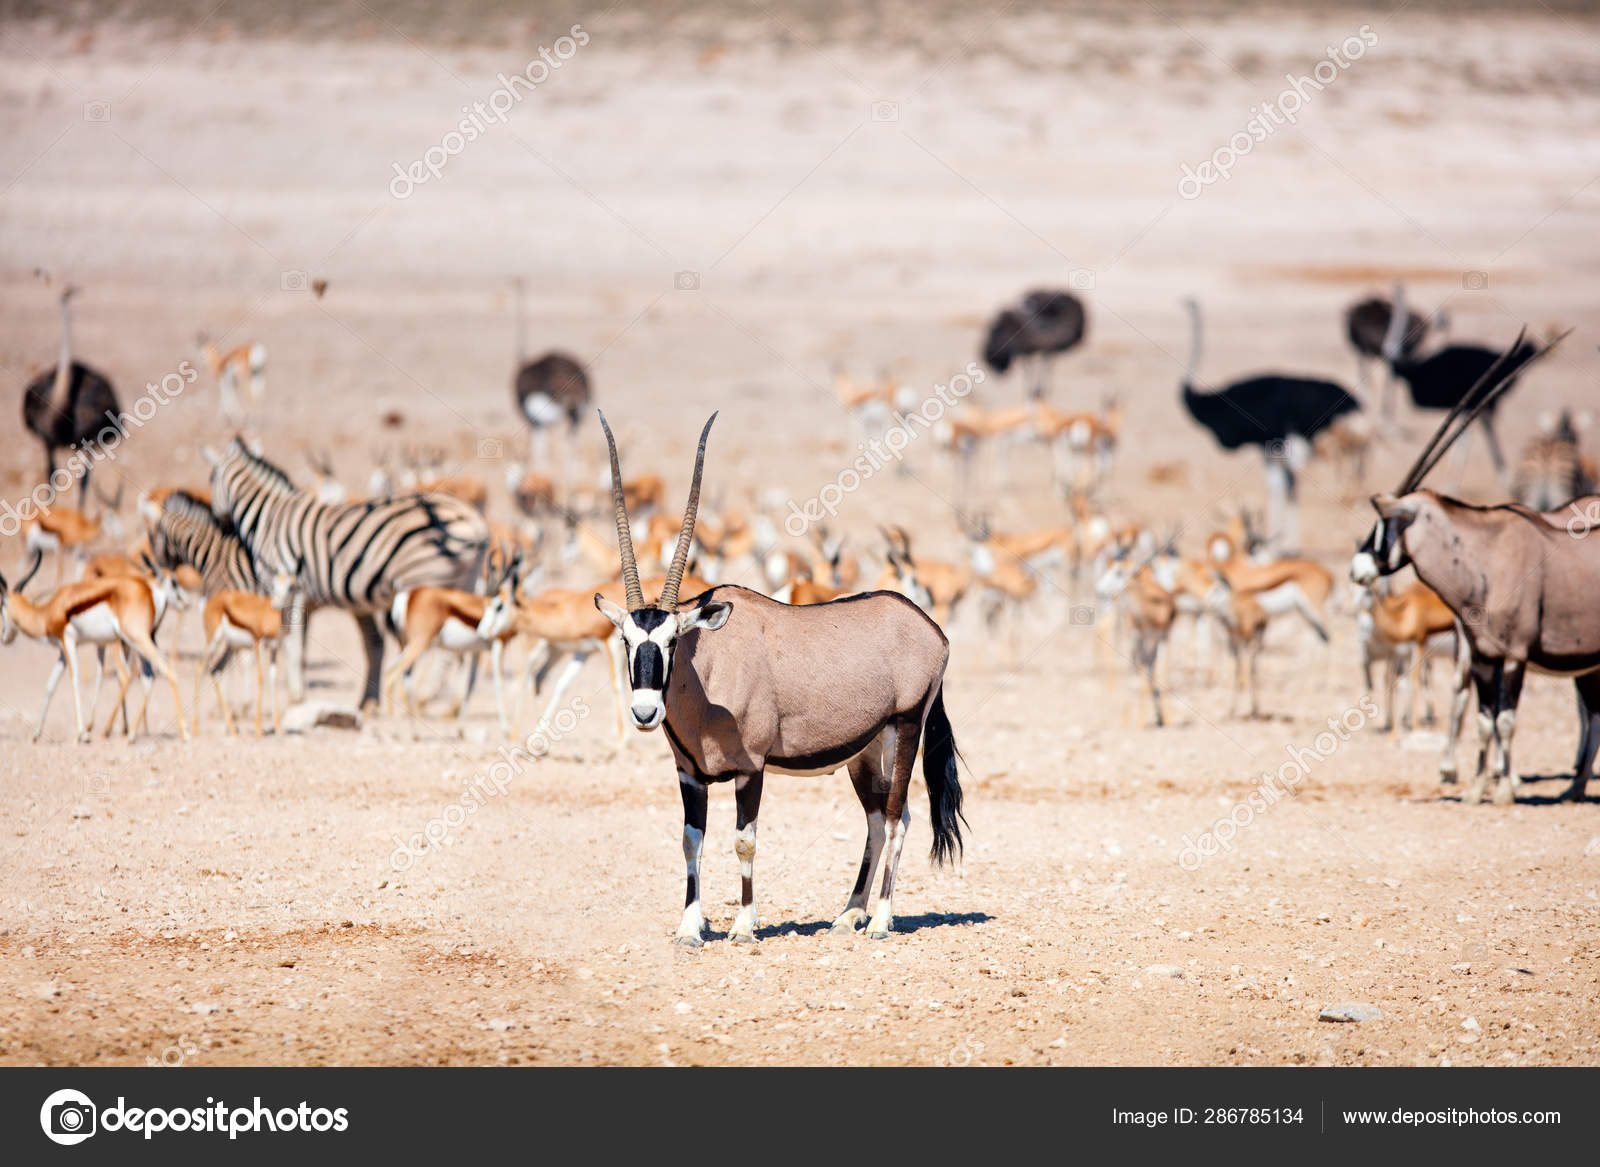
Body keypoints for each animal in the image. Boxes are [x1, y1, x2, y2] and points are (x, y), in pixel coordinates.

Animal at [204, 438, 490, 710]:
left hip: (427, 583)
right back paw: (449, 703)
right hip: (463, 584)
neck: (270, 516)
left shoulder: (290, 587)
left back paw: (424, 697)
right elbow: (310, 647)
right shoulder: (312, 599)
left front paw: (296, 699)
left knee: (438, 647)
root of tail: (476, 523)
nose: (220, 523)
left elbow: (293, 645)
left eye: (211, 477)